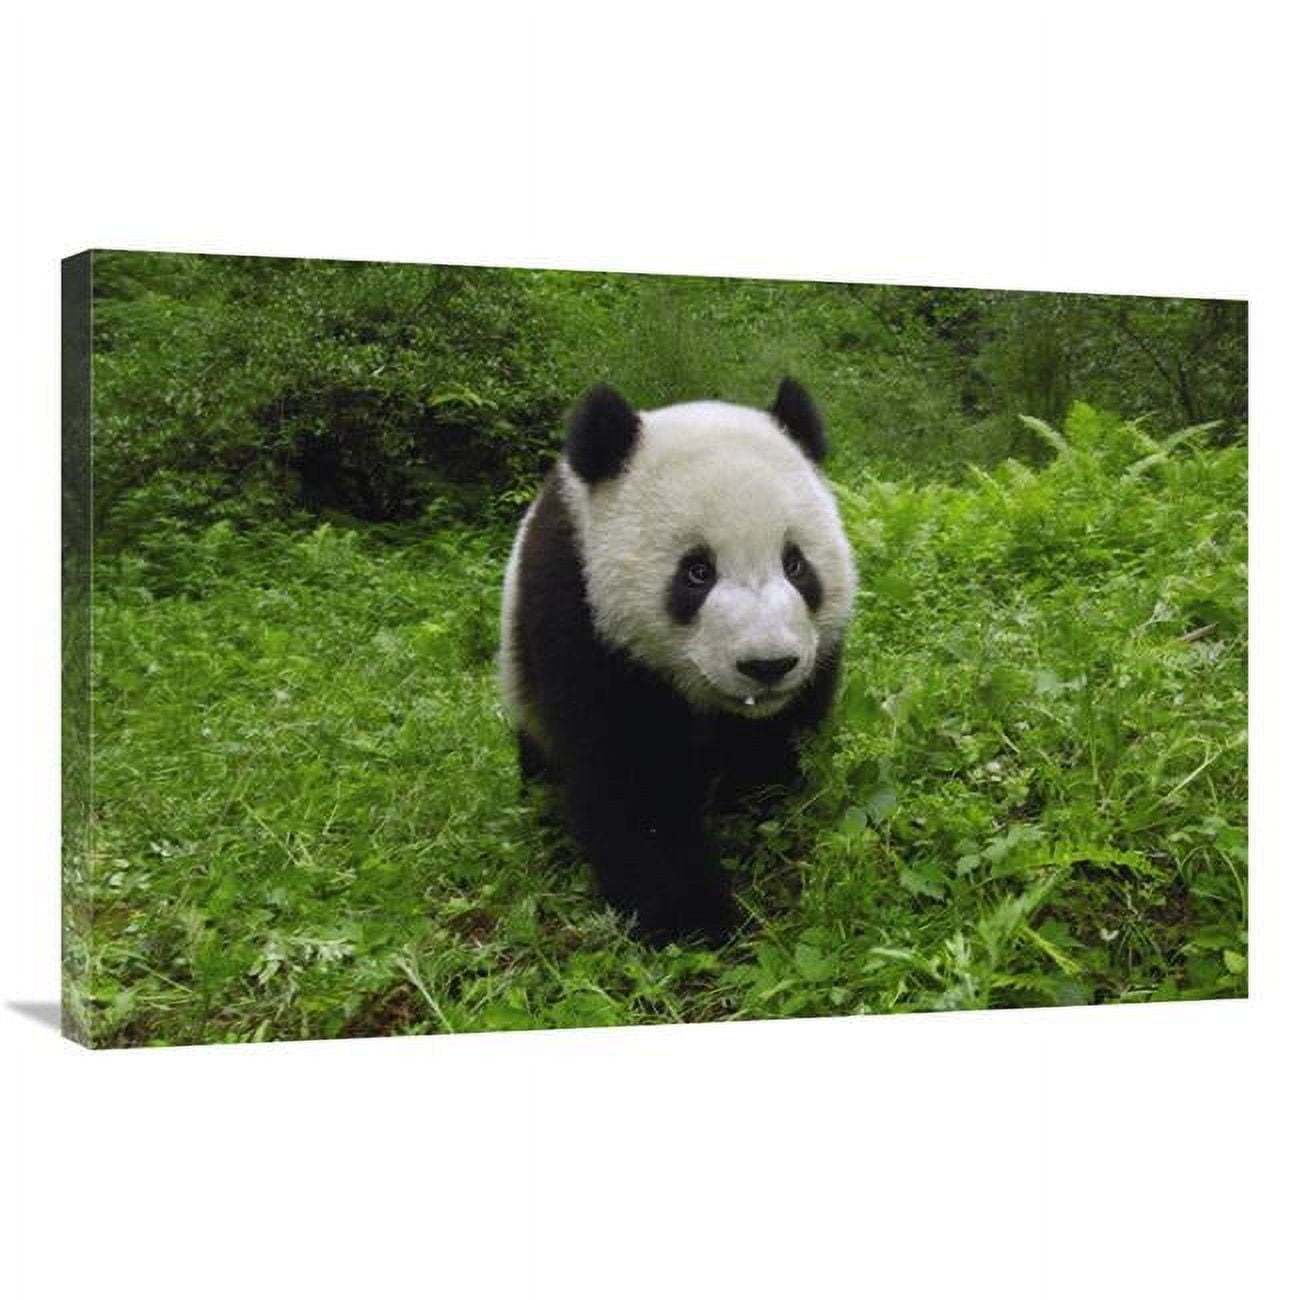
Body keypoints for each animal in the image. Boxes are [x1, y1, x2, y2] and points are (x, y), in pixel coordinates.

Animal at [499, 379, 857, 944]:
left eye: (796, 564)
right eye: (696, 572)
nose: (768, 665)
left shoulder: (813, 662)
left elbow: (775, 749)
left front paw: (759, 815)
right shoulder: (577, 615)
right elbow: (630, 778)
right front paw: (693, 918)